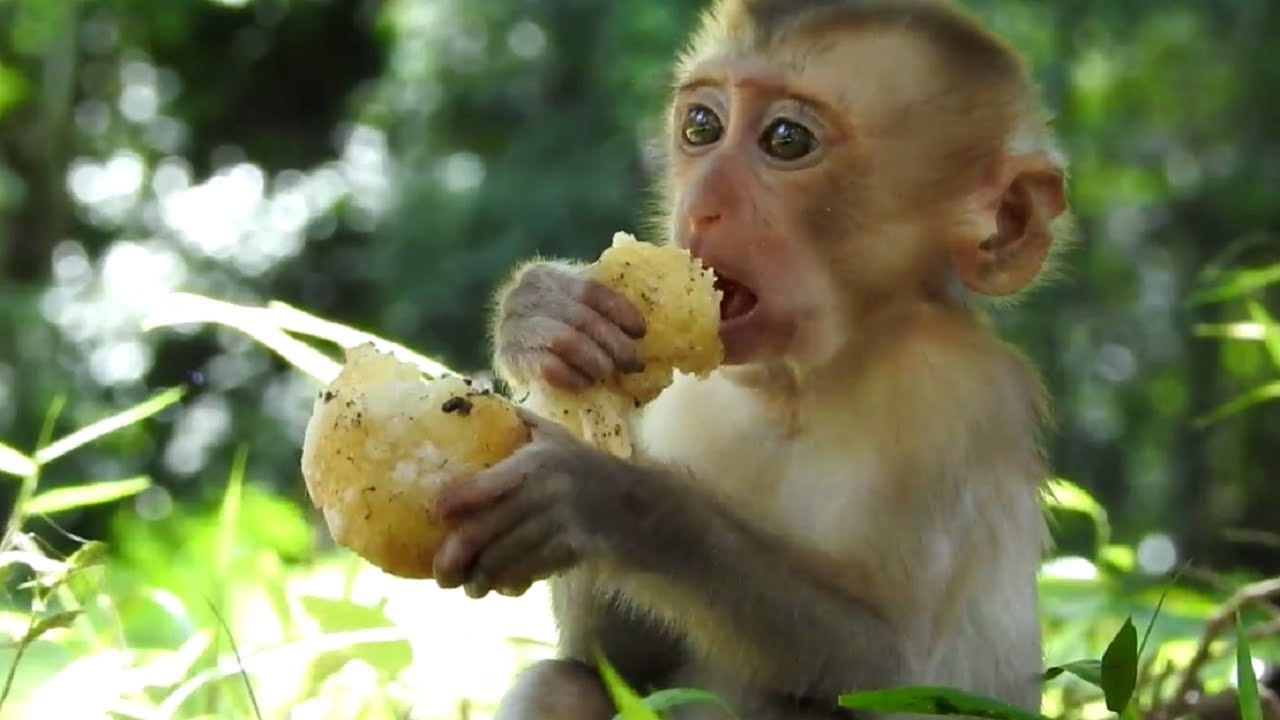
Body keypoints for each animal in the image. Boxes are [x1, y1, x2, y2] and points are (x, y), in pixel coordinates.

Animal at [427, 0, 1071, 718]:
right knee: (560, 683)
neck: (806, 384)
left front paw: (613, 501)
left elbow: (895, 665)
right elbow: (608, 659)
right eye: (701, 127)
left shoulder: (957, 395)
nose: (702, 205)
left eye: (786, 140)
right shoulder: (690, 397)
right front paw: (543, 318)